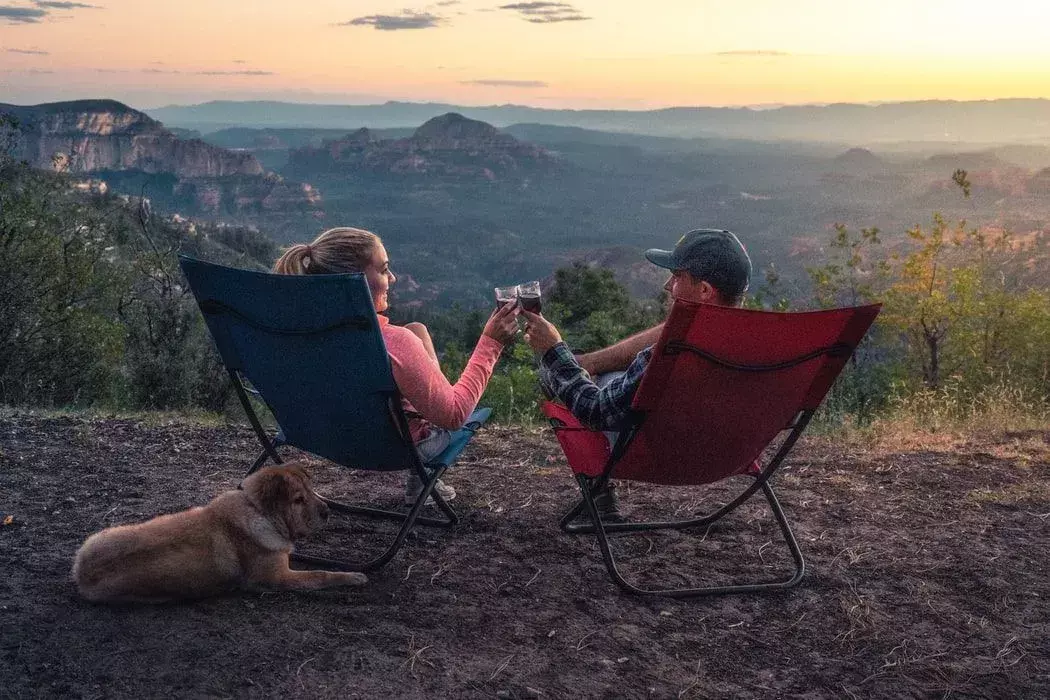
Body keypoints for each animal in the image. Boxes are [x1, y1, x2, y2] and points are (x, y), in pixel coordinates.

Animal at [69, 459, 365, 604]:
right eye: (298, 500)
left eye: (311, 490)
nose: (327, 512)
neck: (258, 511)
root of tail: (82, 572)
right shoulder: (276, 578)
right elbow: (321, 574)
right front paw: (352, 577)